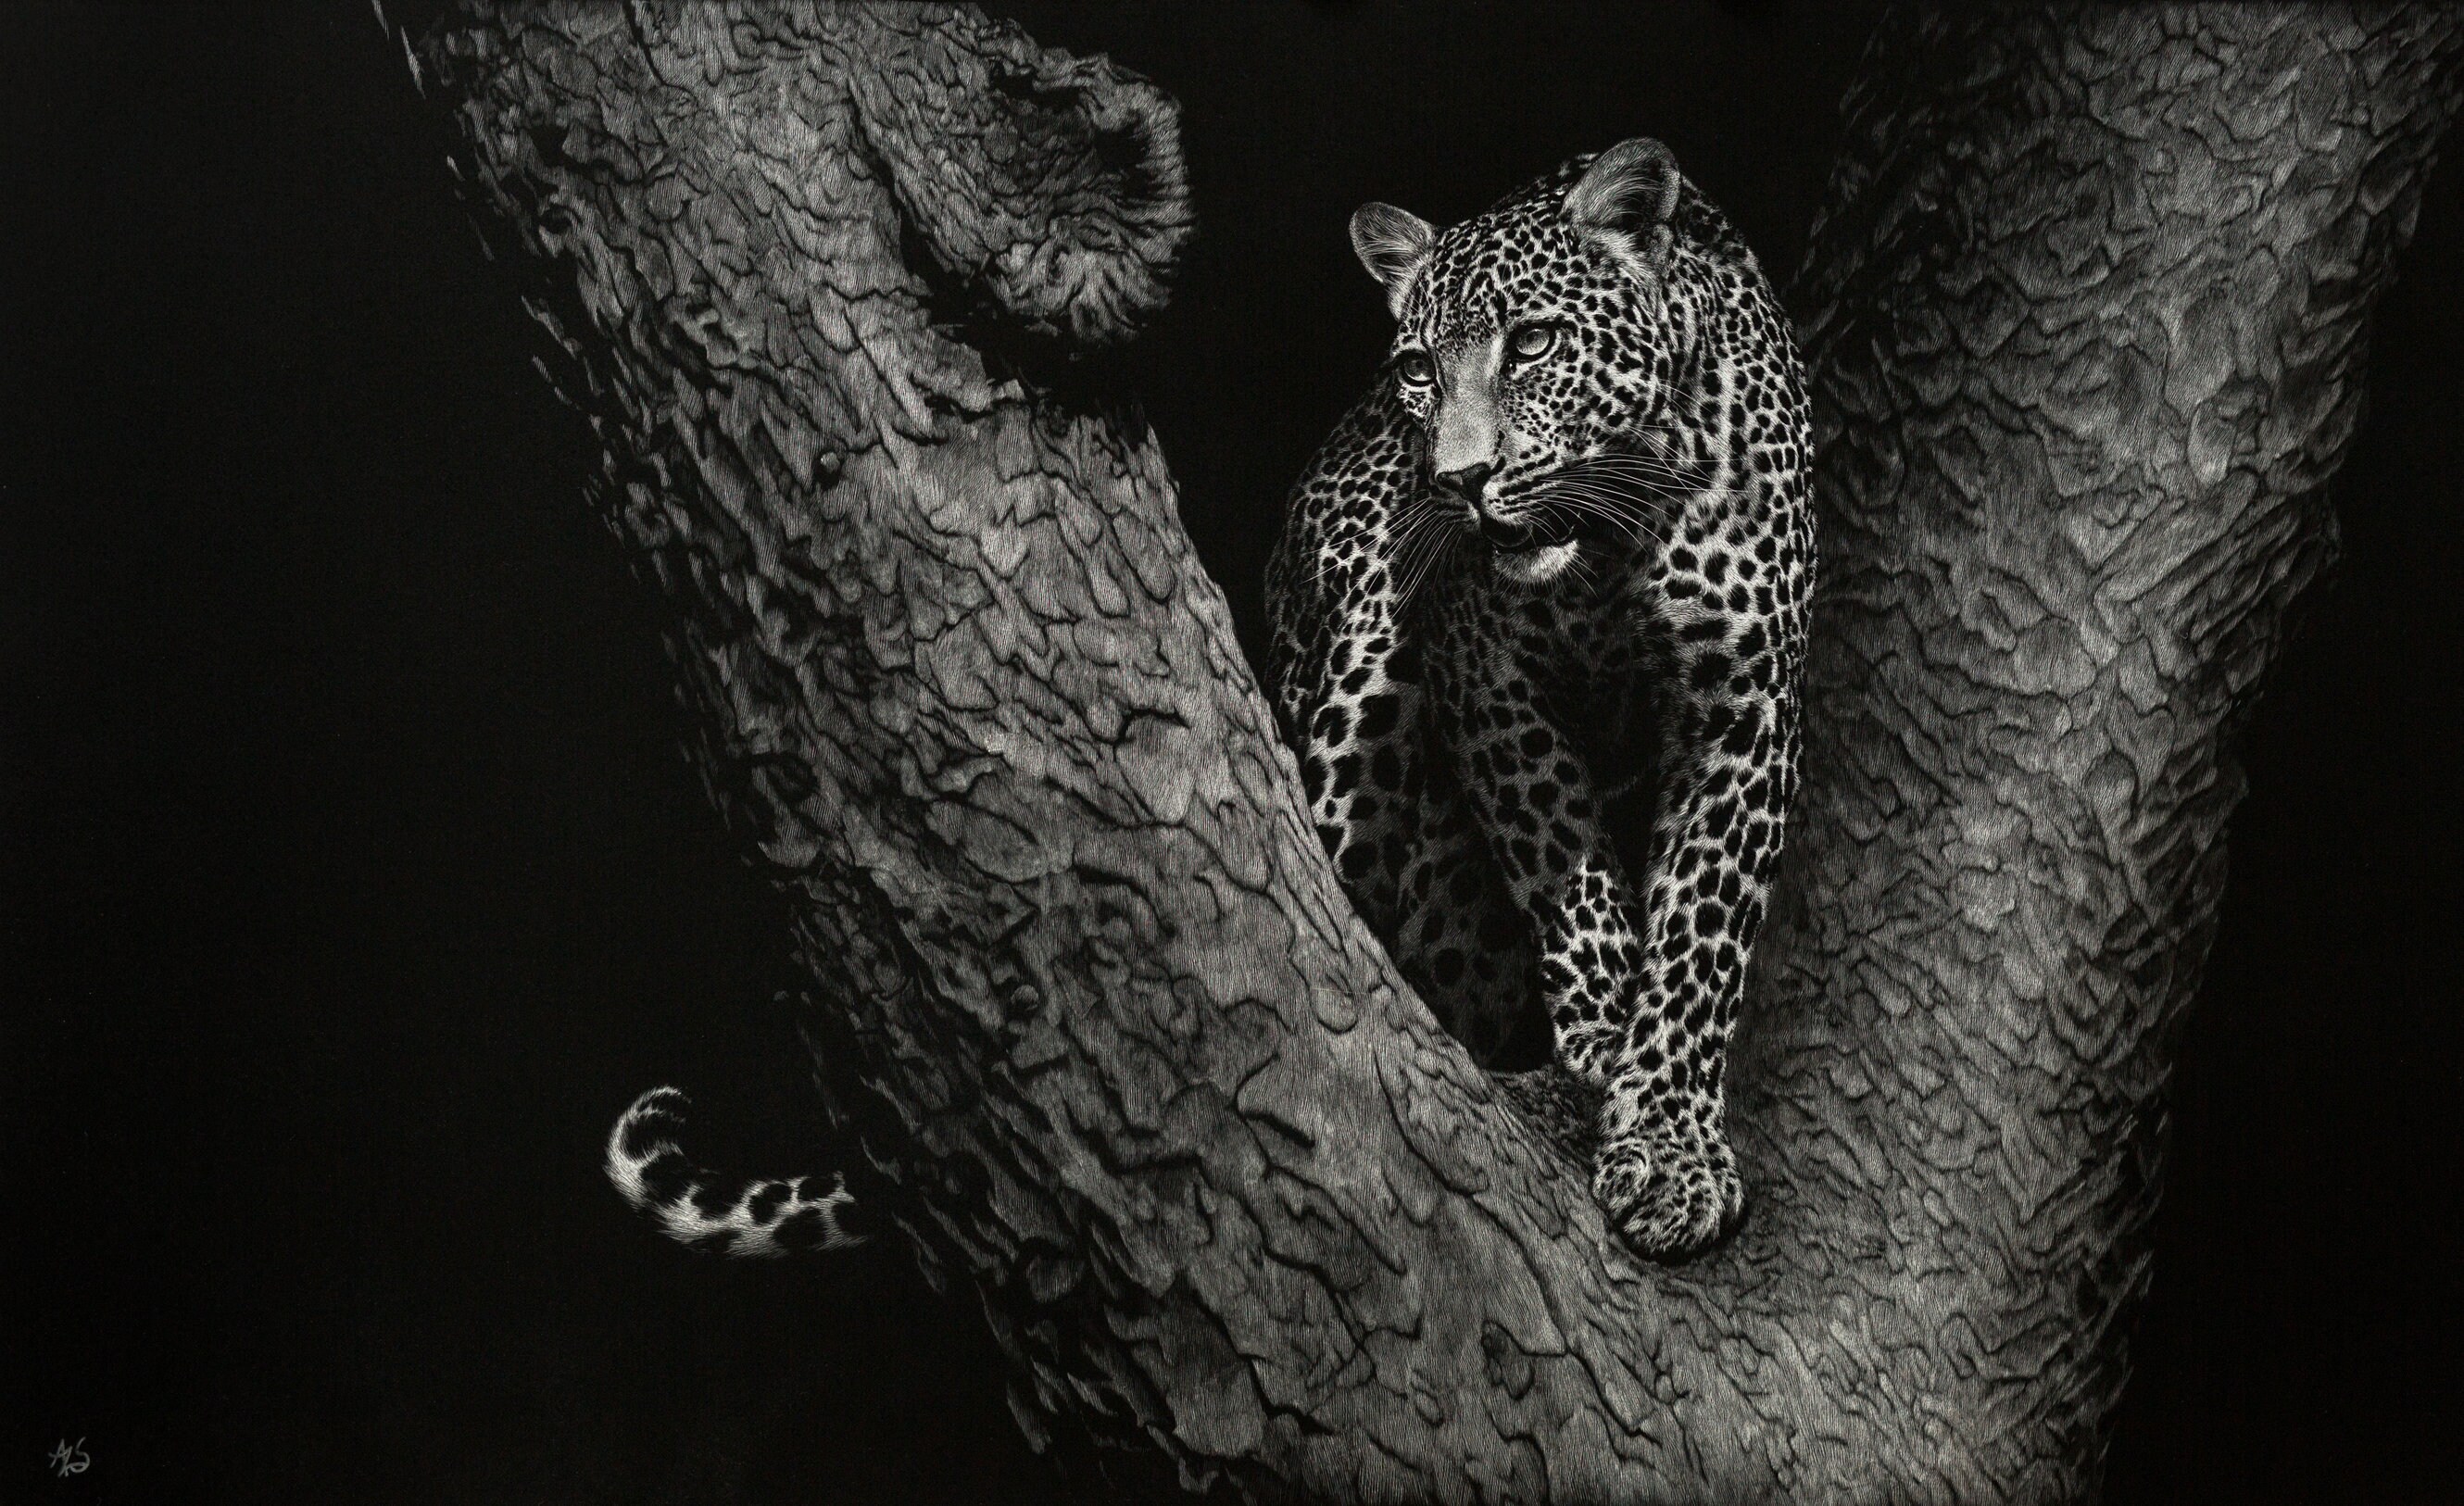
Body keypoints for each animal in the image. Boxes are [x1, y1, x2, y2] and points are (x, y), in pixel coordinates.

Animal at [1262, 137, 1813, 1259]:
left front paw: (1673, 1145)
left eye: (1532, 344)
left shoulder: (1745, 702)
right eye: (1419, 371)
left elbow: (1705, 931)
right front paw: (1602, 1030)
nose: (1461, 479)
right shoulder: (1487, 680)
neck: (1612, 544)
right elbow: (1561, 856)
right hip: (1363, 662)